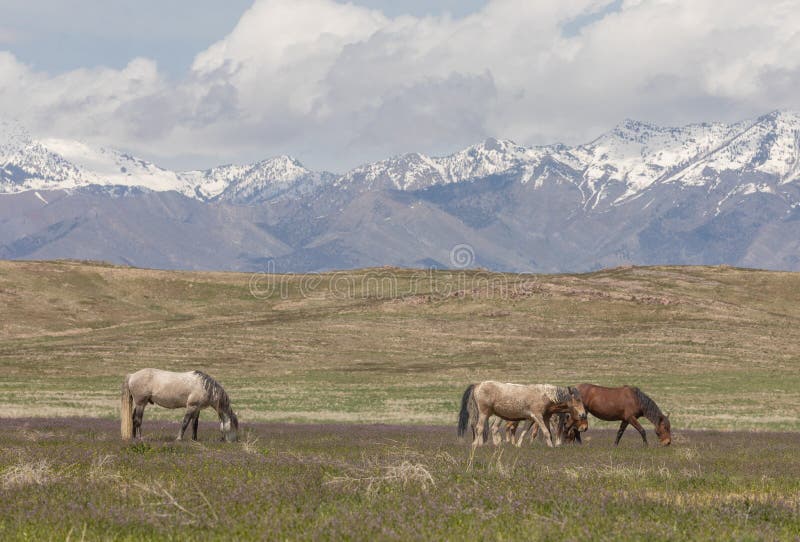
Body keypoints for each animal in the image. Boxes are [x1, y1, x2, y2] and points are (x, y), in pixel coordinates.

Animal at [458, 381, 587, 448]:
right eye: (577, 400)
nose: (583, 414)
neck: (546, 395)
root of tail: (478, 385)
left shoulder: (533, 418)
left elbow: (525, 432)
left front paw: (518, 446)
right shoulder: (537, 416)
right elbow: (546, 432)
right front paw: (551, 446)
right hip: (484, 413)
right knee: (479, 428)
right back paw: (477, 445)